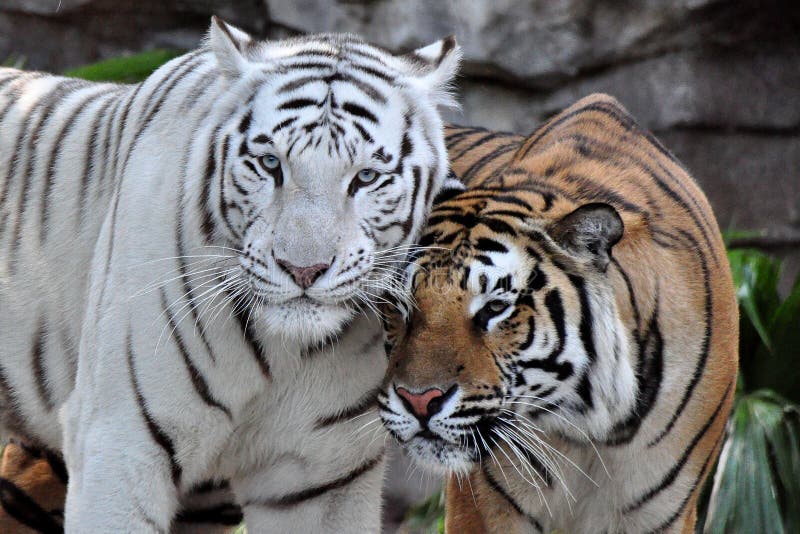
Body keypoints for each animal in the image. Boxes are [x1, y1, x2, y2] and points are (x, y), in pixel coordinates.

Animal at [0, 16, 460, 532]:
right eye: (270, 164)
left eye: (365, 177)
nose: (304, 269)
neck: (286, 353)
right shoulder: (118, 439)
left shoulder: (324, 475)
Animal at [379, 94, 739, 533]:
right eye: (400, 305)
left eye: (495, 308)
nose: (418, 401)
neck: (592, 430)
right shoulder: (485, 507)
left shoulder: (664, 514)